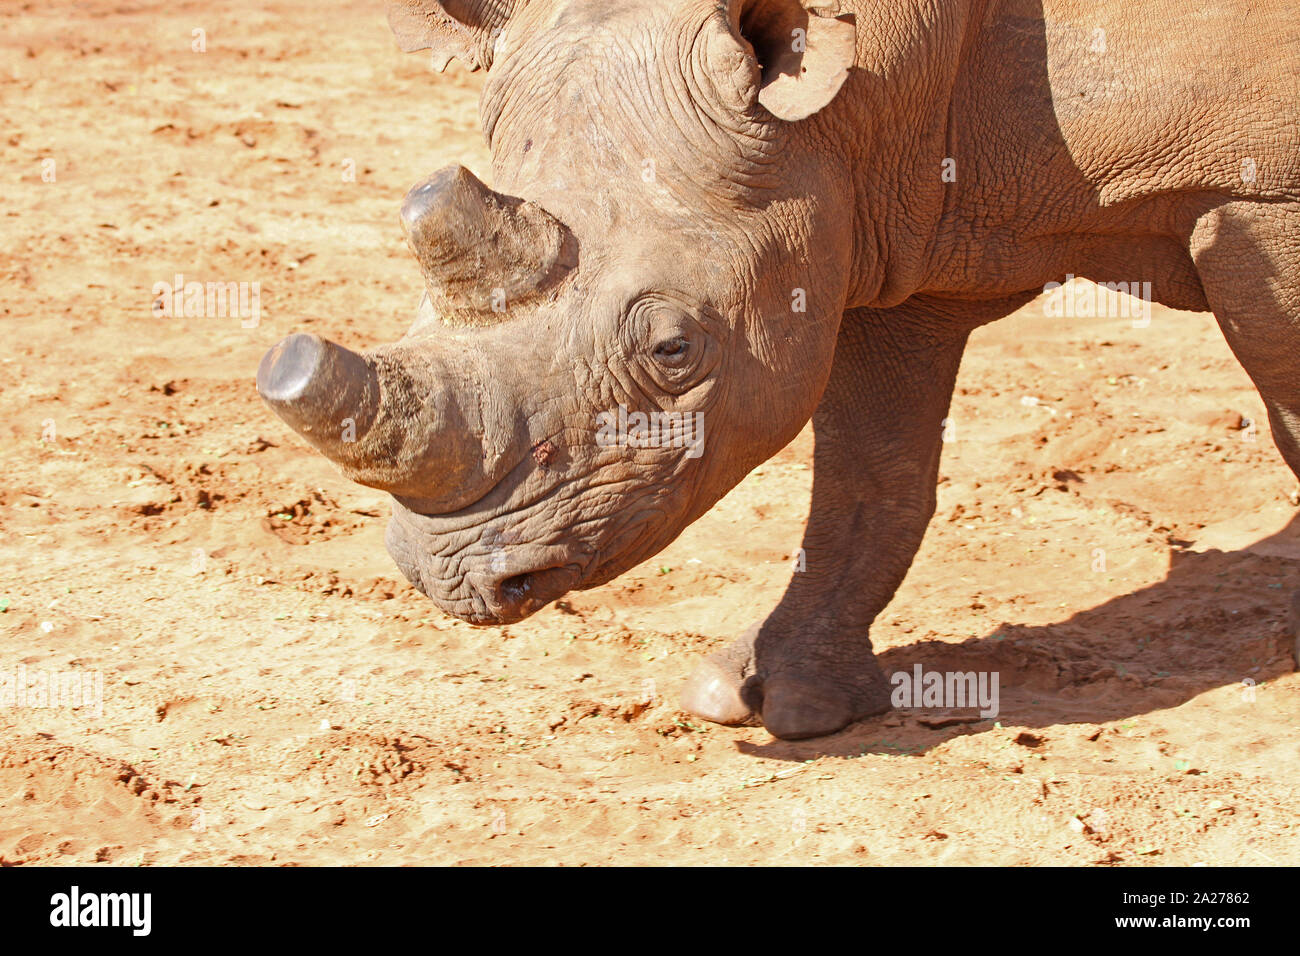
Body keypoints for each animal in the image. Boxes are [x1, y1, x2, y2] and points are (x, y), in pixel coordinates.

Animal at [258, 0, 1300, 739]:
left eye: (673, 351)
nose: (450, 582)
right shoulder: (877, 207)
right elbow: (869, 479)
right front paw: (776, 696)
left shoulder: (1263, 190)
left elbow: (1291, 410)